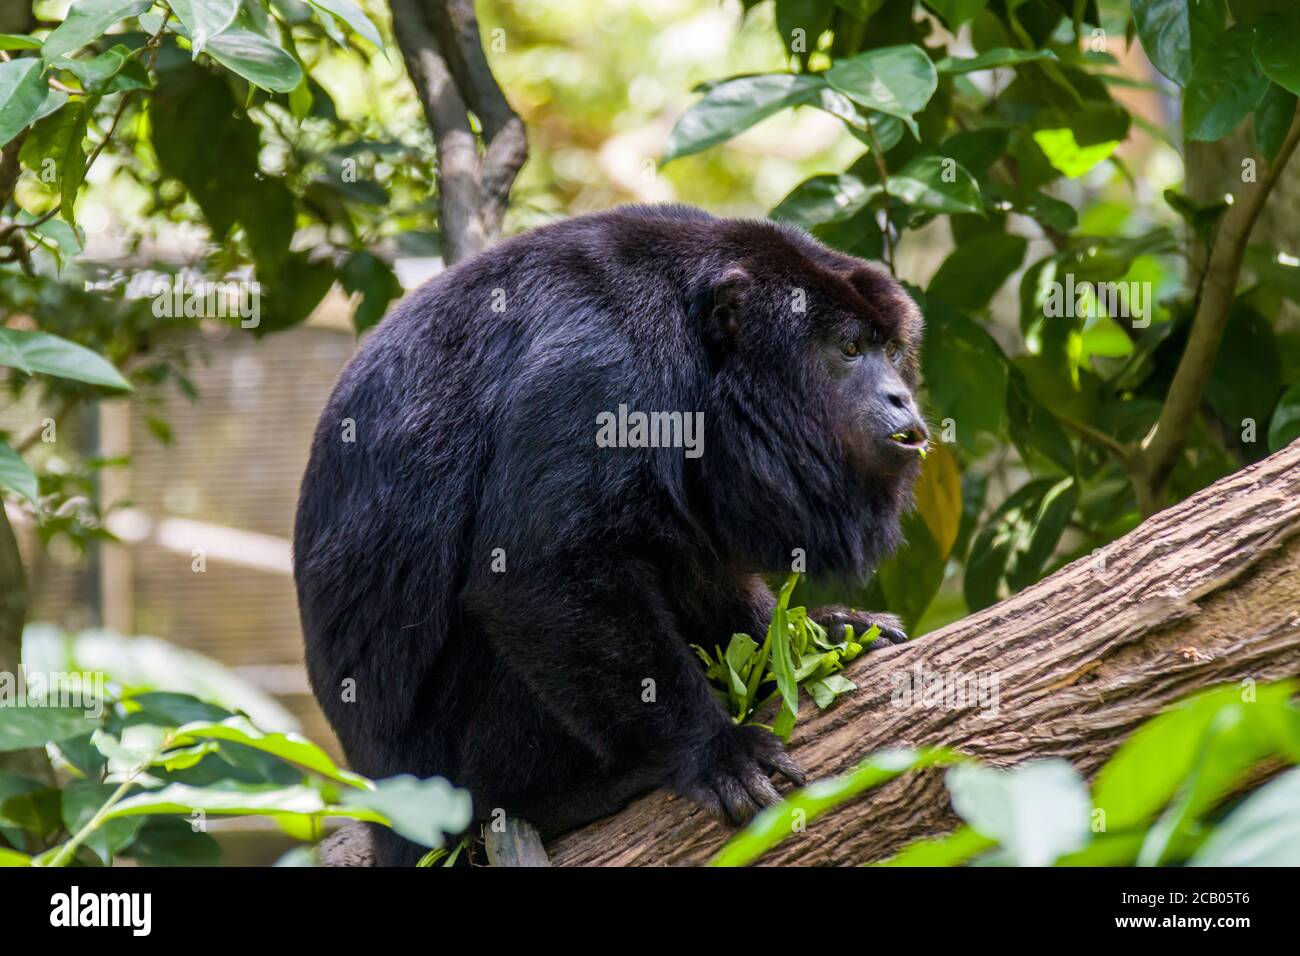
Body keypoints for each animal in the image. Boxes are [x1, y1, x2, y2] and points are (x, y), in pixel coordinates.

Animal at [293, 204, 927, 865]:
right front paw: (714, 750)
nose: (901, 396)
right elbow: (542, 570)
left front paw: (818, 632)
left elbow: (699, 564)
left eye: (892, 350)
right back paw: (557, 795)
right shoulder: (603, 367)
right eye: (849, 348)